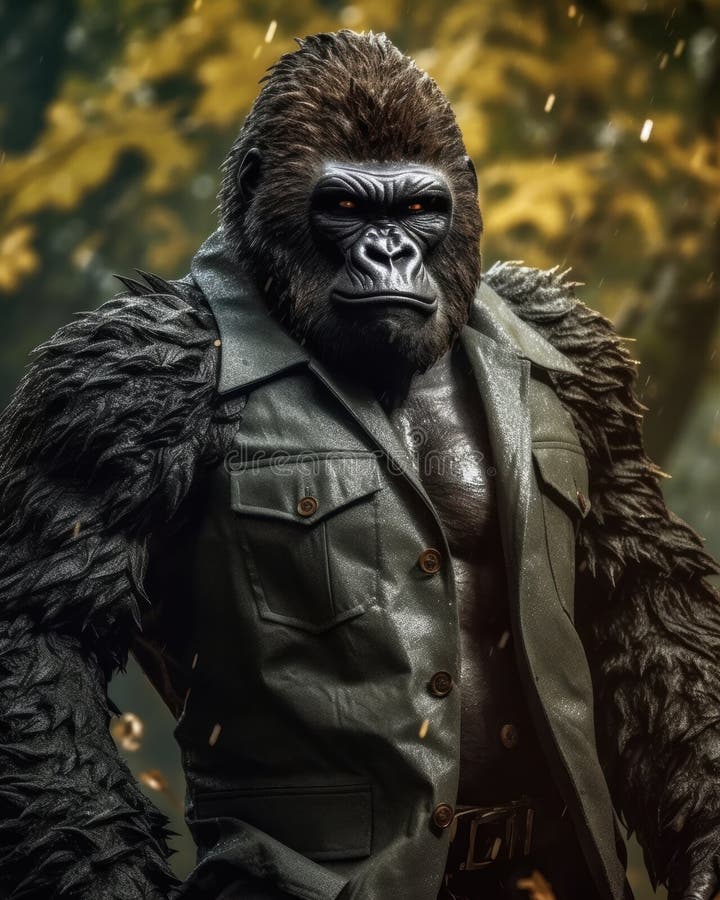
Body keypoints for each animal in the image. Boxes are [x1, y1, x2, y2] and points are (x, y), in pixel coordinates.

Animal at [1, 29, 719, 900]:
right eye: (344, 208)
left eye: (418, 208)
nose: (389, 250)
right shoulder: (115, 381)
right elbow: (46, 634)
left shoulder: (580, 350)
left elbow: (640, 589)